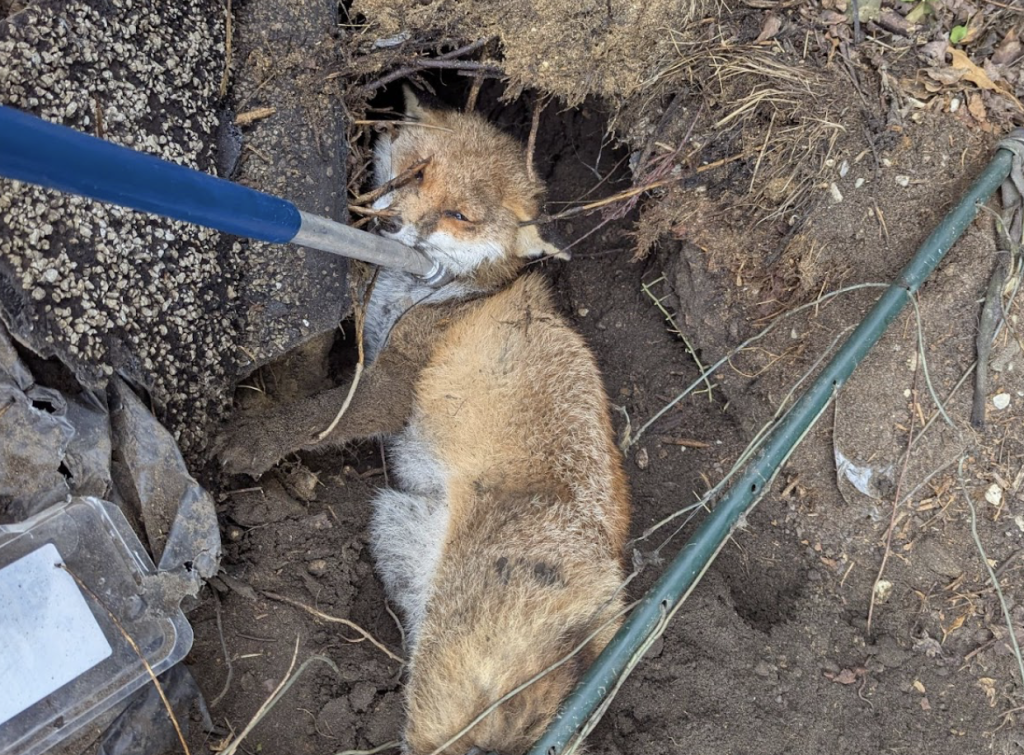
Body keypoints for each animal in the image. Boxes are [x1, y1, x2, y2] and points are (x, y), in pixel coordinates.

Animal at [215, 89, 631, 755]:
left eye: (459, 215)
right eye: (415, 171)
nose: (386, 225)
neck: (449, 292)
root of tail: (613, 600)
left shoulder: (394, 382)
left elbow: (316, 417)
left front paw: (256, 436)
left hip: (451, 661)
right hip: (395, 527)